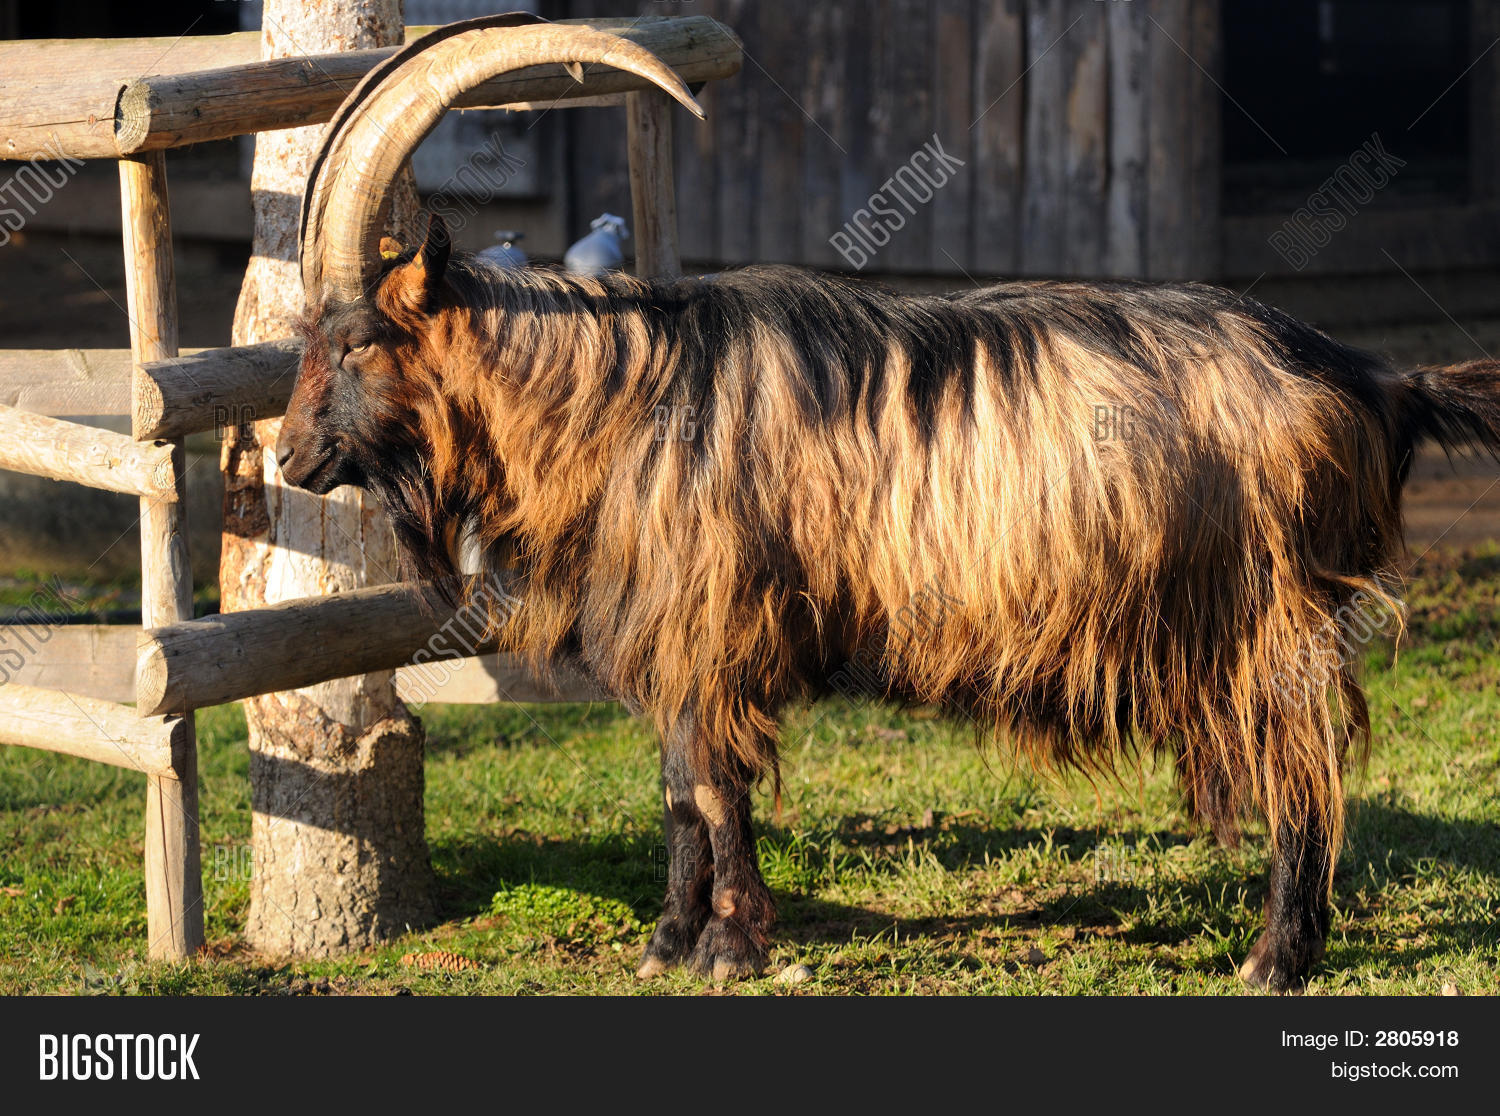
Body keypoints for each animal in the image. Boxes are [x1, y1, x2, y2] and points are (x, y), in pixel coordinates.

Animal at [280, 19, 1500, 990]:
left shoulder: (716, 627)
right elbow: (676, 788)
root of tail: (1378, 381)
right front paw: (667, 942)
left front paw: (729, 947)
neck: (629, 400)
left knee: (1308, 777)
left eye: (358, 340)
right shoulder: (679, 641)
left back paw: (1272, 960)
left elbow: (715, 786)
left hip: (1271, 622)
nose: (290, 457)